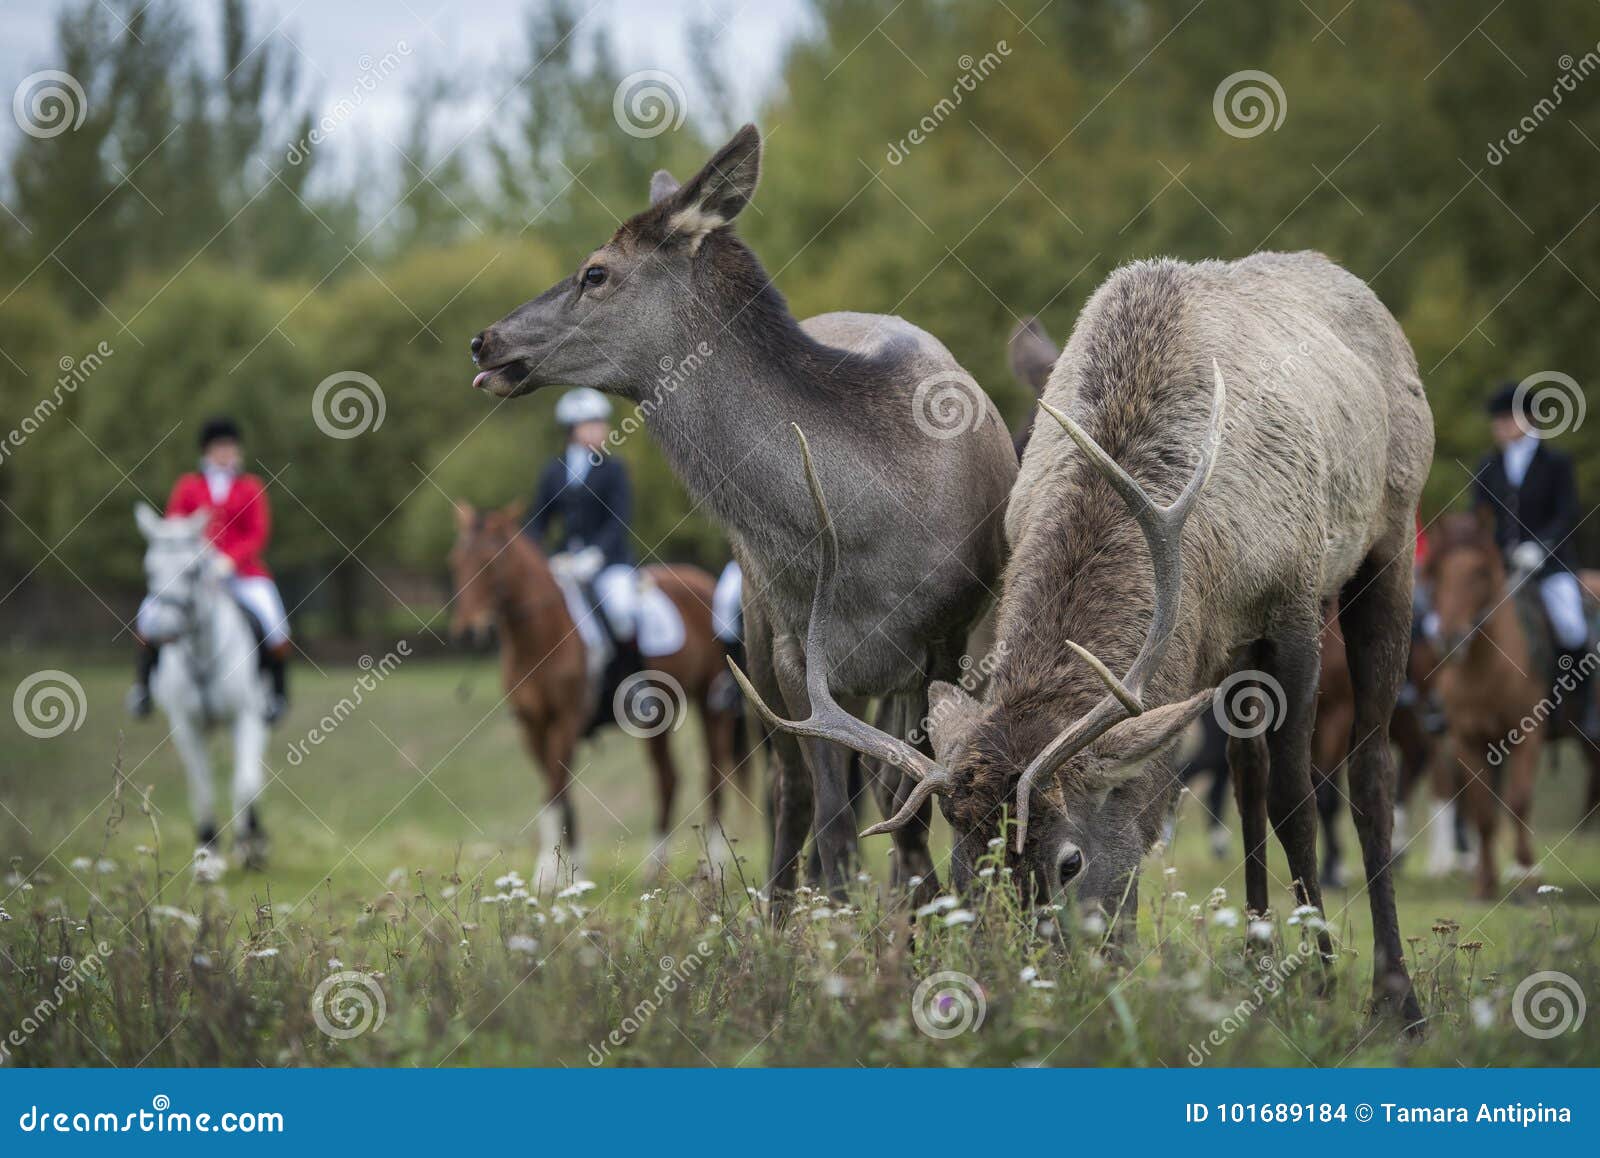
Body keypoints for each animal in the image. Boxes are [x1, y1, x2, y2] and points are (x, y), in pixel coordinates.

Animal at [466, 124, 1018, 904]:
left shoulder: (948, 636)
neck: (871, 533)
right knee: (795, 793)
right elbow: (831, 822)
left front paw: (932, 920)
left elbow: (909, 813)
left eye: (595, 272)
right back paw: (782, 908)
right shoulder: (791, 650)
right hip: (758, 633)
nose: (485, 340)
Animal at [737, 252, 1433, 1026]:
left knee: (1369, 770)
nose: (1011, 989)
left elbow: (1297, 801)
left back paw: (1396, 998)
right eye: (963, 867)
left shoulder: (1292, 605)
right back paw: (1255, 957)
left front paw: (1318, 985)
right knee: (1245, 775)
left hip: (1390, 546)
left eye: (1068, 862)